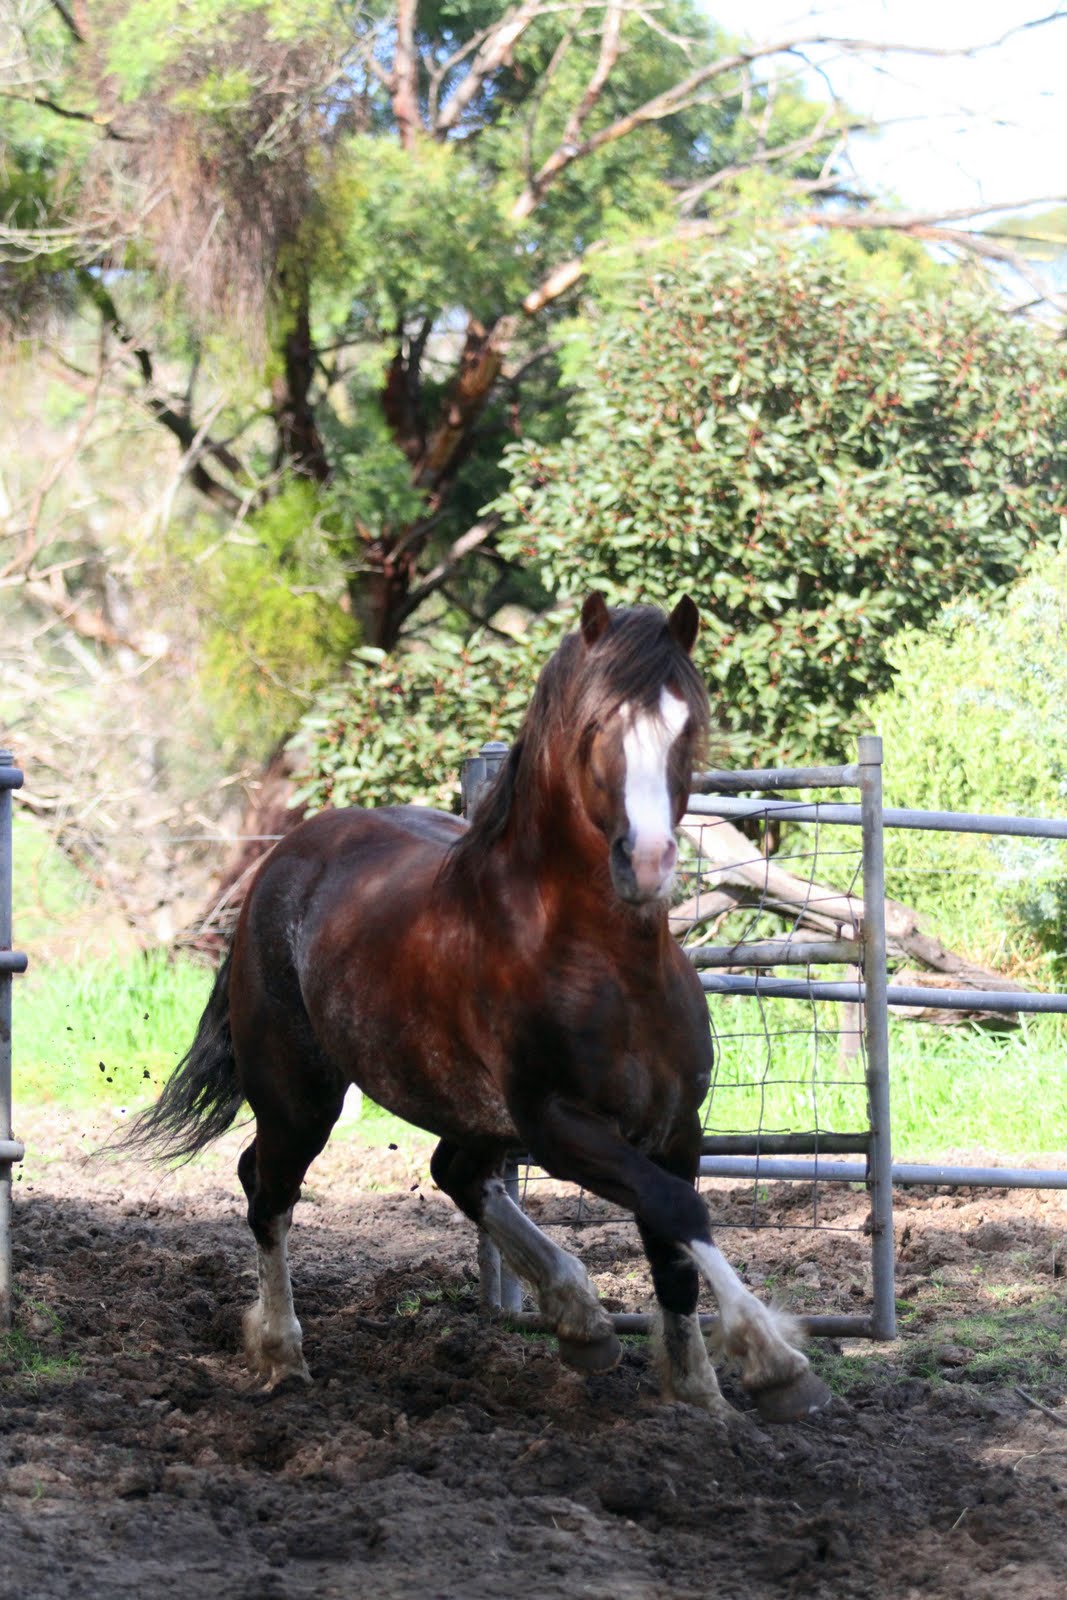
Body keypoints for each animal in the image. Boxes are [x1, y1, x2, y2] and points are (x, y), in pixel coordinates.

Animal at [132, 593, 830, 1424]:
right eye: (595, 726)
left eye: (686, 725)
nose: (649, 862)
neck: (606, 965)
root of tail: (286, 857)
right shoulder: (560, 1126)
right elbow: (678, 1211)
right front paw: (775, 1362)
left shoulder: (674, 1124)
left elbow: (670, 1243)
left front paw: (697, 1391)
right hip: (299, 1096)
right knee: (269, 1190)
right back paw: (281, 1353)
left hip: (464, 1111)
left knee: (451, 1172)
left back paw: (579, 1317)